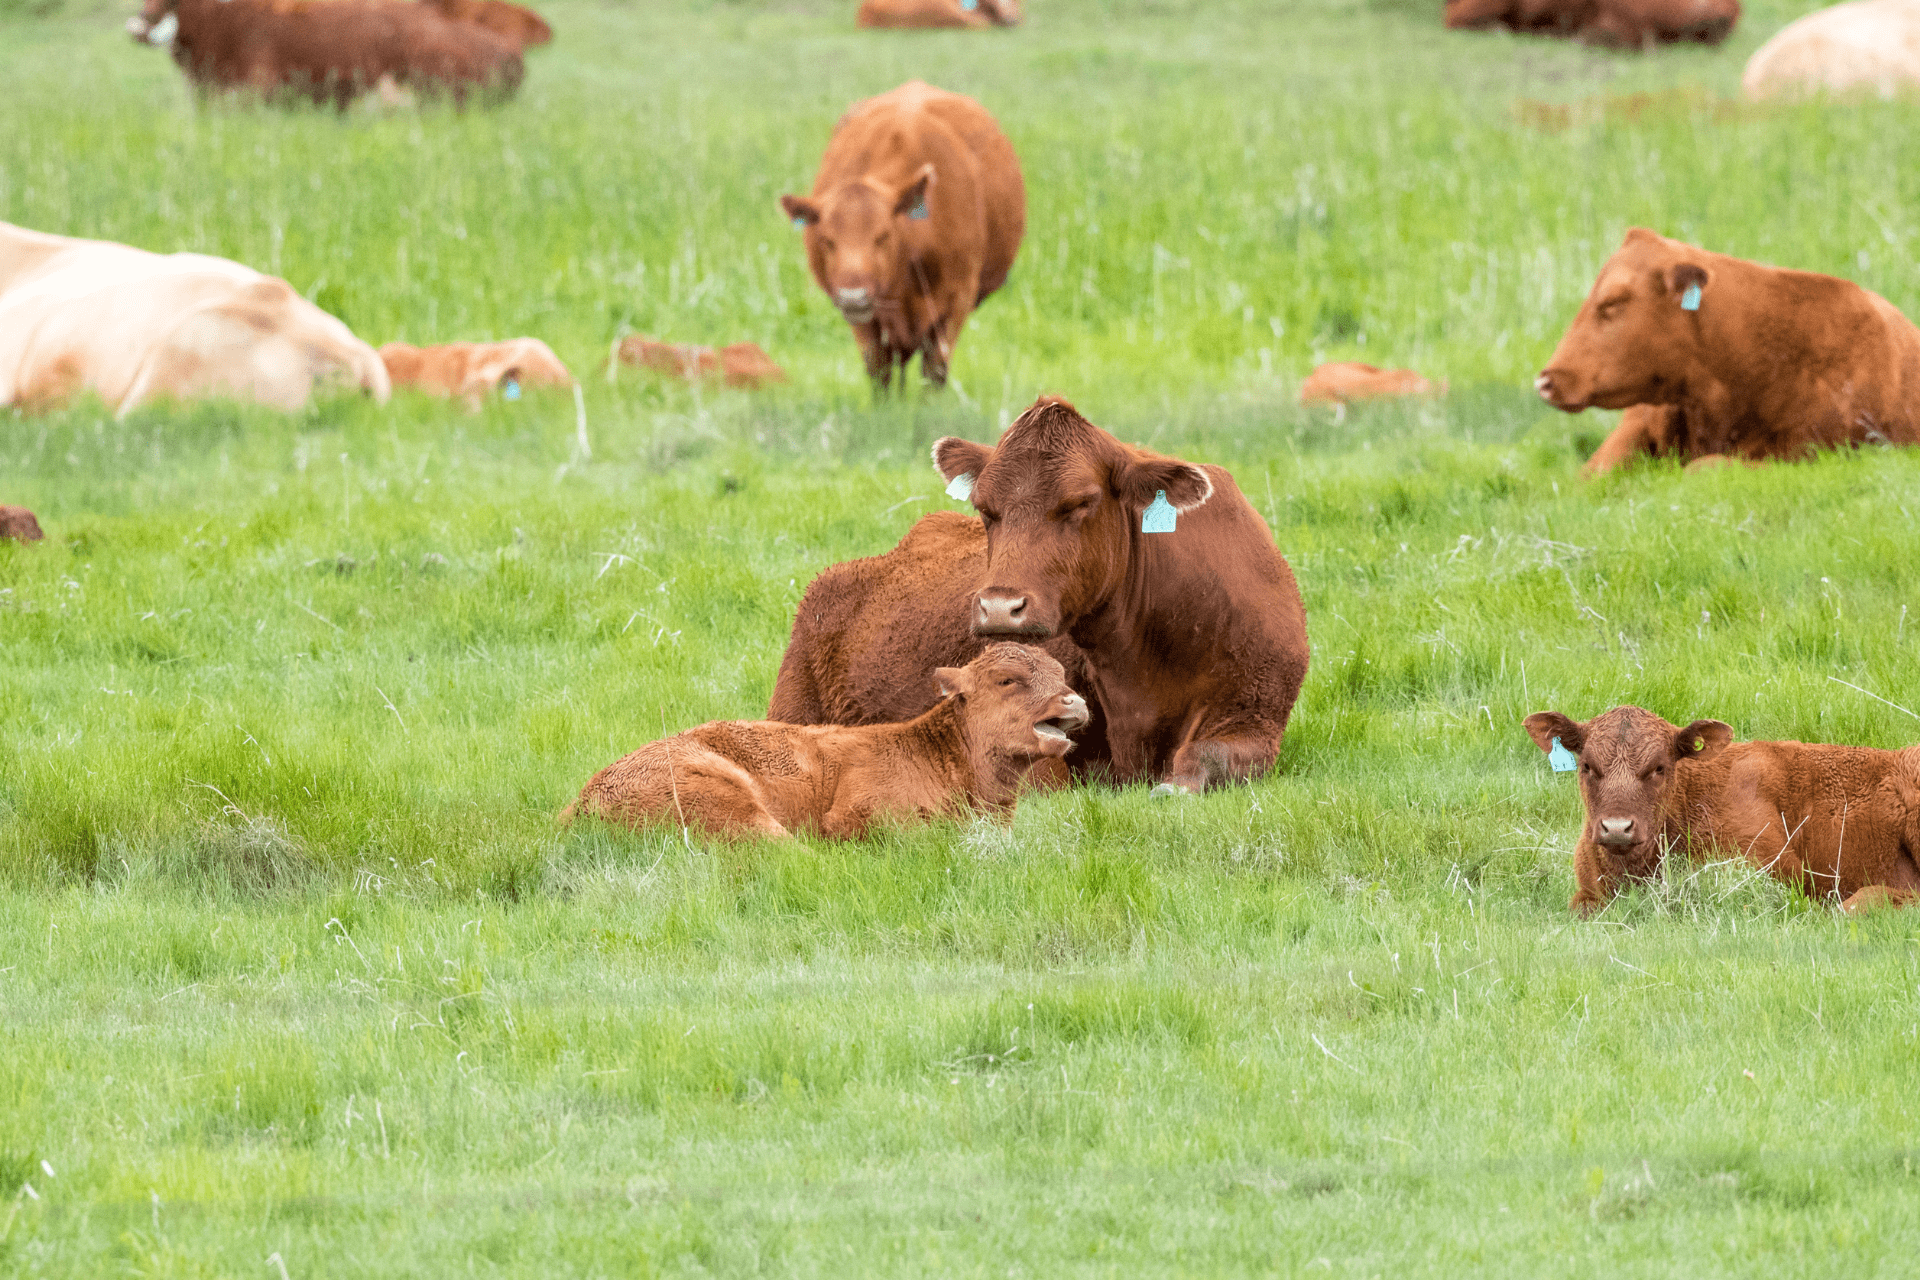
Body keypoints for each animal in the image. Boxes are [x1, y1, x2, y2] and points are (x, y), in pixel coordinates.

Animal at [564, 643, 1088, 840]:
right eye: (1007, 680)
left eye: (1061, 671)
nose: (1075, 702)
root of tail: (585, 798)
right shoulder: (862, 816)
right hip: (735, 804)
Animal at [778, 81, 1024, 391]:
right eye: (826, 240)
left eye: (883, 236)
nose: (853, 297)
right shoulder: (868, 323)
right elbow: (879, 370)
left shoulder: (956, 302)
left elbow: (934, 372)